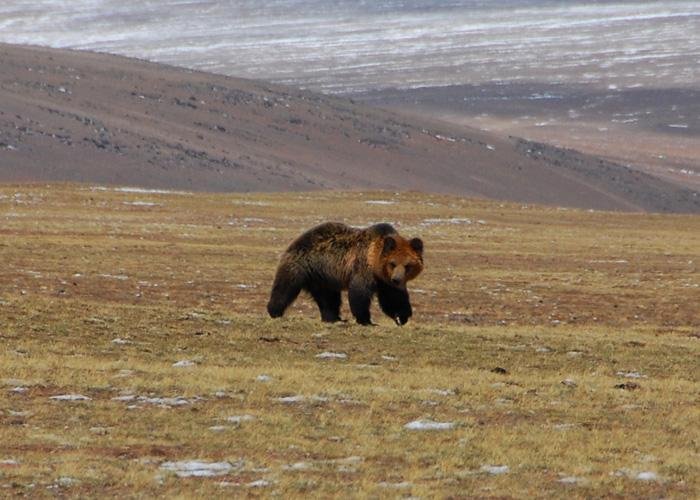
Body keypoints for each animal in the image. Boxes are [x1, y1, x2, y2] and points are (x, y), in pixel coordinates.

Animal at [267, 222, 423, 325]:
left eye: (408, 265)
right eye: (392, 263)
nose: (397, 279)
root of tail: (296, 240)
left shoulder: (384, 282)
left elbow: (393, 298)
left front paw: (402, 316)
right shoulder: (363, 269)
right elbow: (359, 293)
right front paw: (366, 320)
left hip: (322, 277)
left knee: (328, 298)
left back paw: (333, 317)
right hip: (302, 265)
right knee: (285, 287)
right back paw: (274, 311)